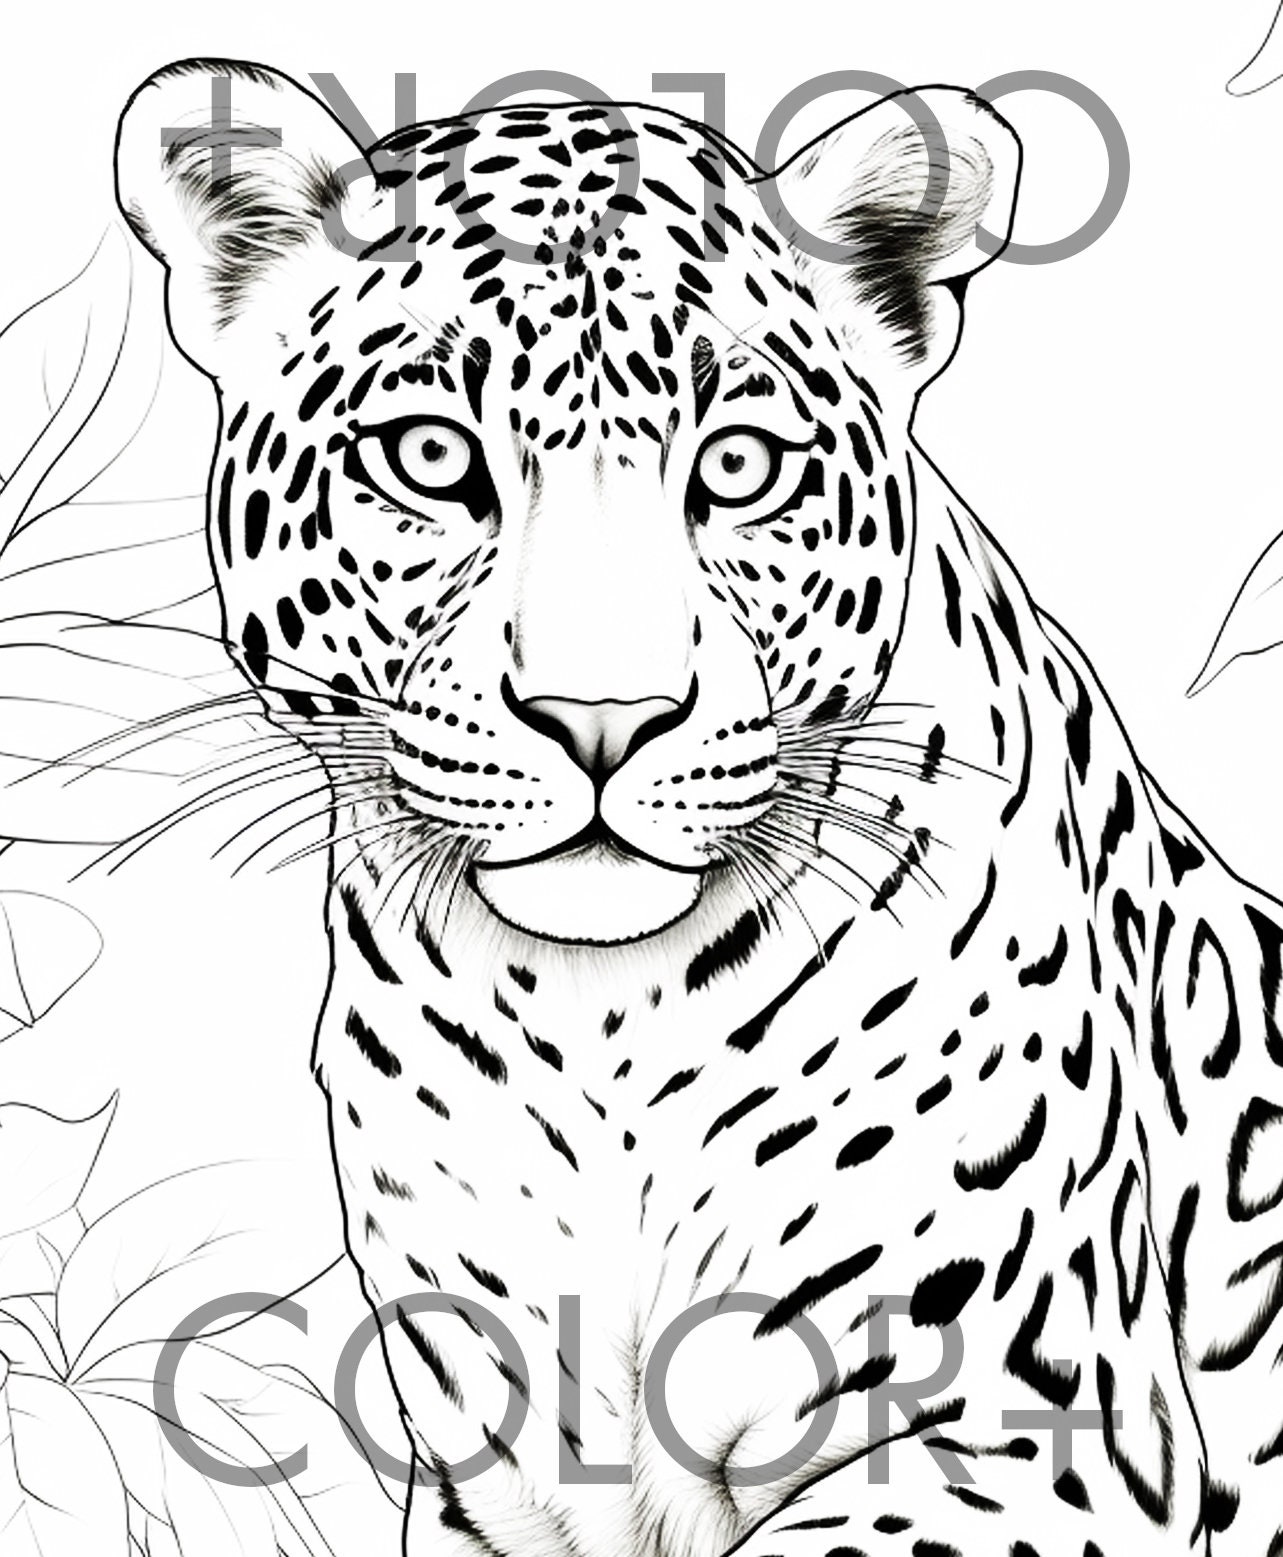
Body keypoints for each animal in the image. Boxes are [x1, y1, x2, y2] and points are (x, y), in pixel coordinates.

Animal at [115, 58, 1283, 1557]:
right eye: (429, 457)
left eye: (734, 468)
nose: (602, 715)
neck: (592, 1029)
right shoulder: (499, 1478)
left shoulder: (1051, 1441)